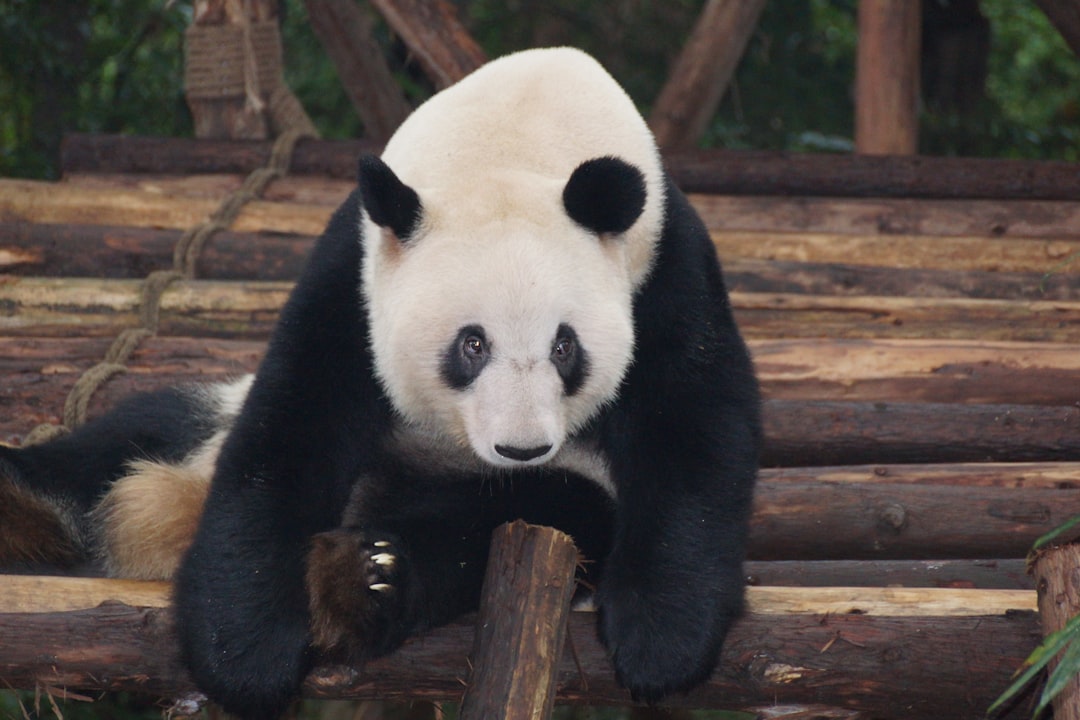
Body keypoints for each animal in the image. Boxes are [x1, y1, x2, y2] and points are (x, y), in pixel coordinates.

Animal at [0, 48, 760, 718]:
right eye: (471, 345)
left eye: (565, 346)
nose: (519, 447)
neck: (519, 138)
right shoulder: (354, 274)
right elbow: (291, 424)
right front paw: (244, 647)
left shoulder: (664, 268)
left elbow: (695, 430)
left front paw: (662, 642)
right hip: (203, 413)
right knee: (128, 434)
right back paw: (29, 507)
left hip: (538, 499)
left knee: (521, 514)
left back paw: (365, 578)